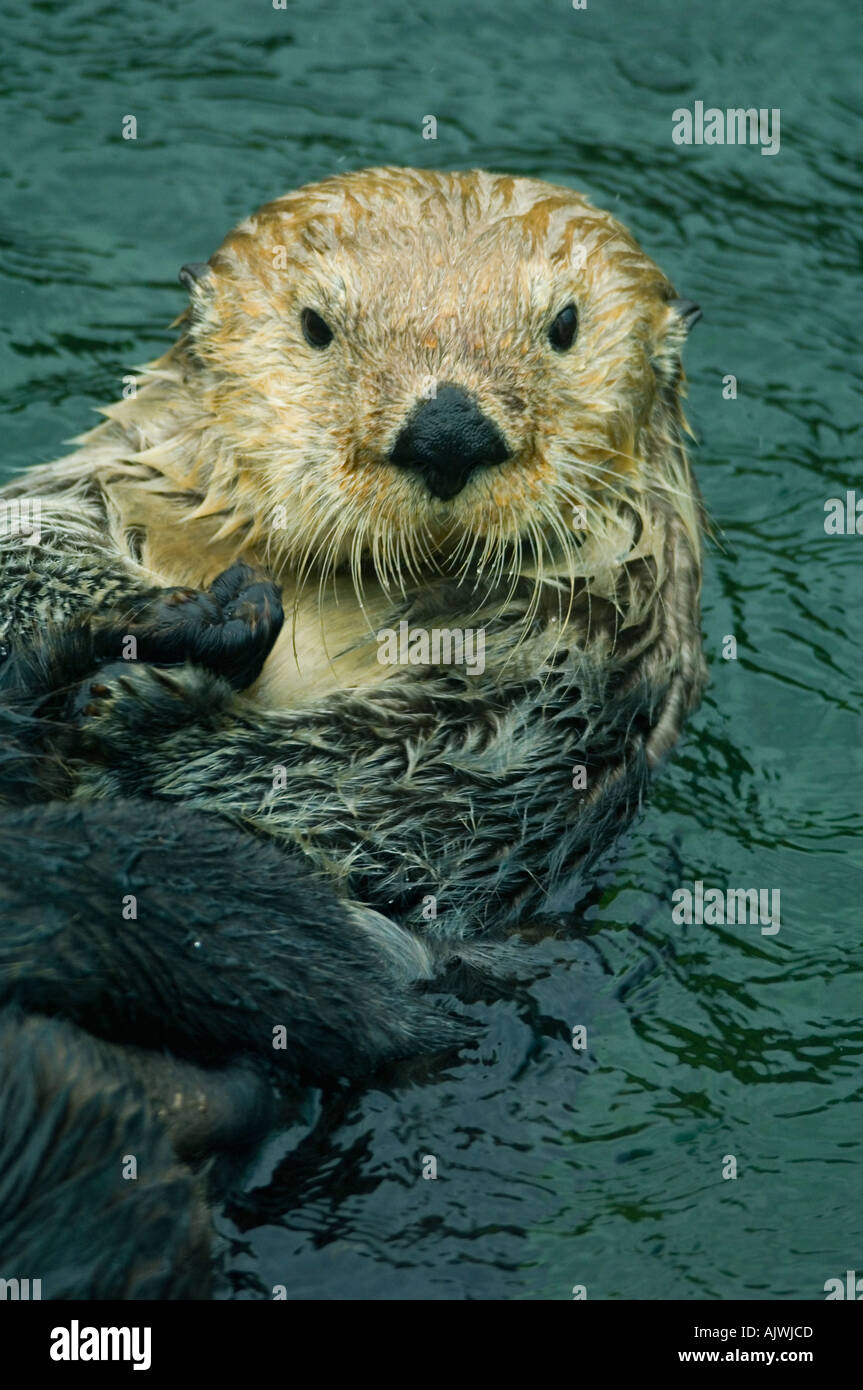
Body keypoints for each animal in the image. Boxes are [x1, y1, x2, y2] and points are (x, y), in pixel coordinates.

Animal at [0, 167, 705, 1297]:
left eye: (562, 325)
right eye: (317, 326)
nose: (448, 430)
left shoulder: (558, 707)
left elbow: (377, 786)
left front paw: (144, 712)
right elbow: (30, 558)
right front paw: (148, 615)